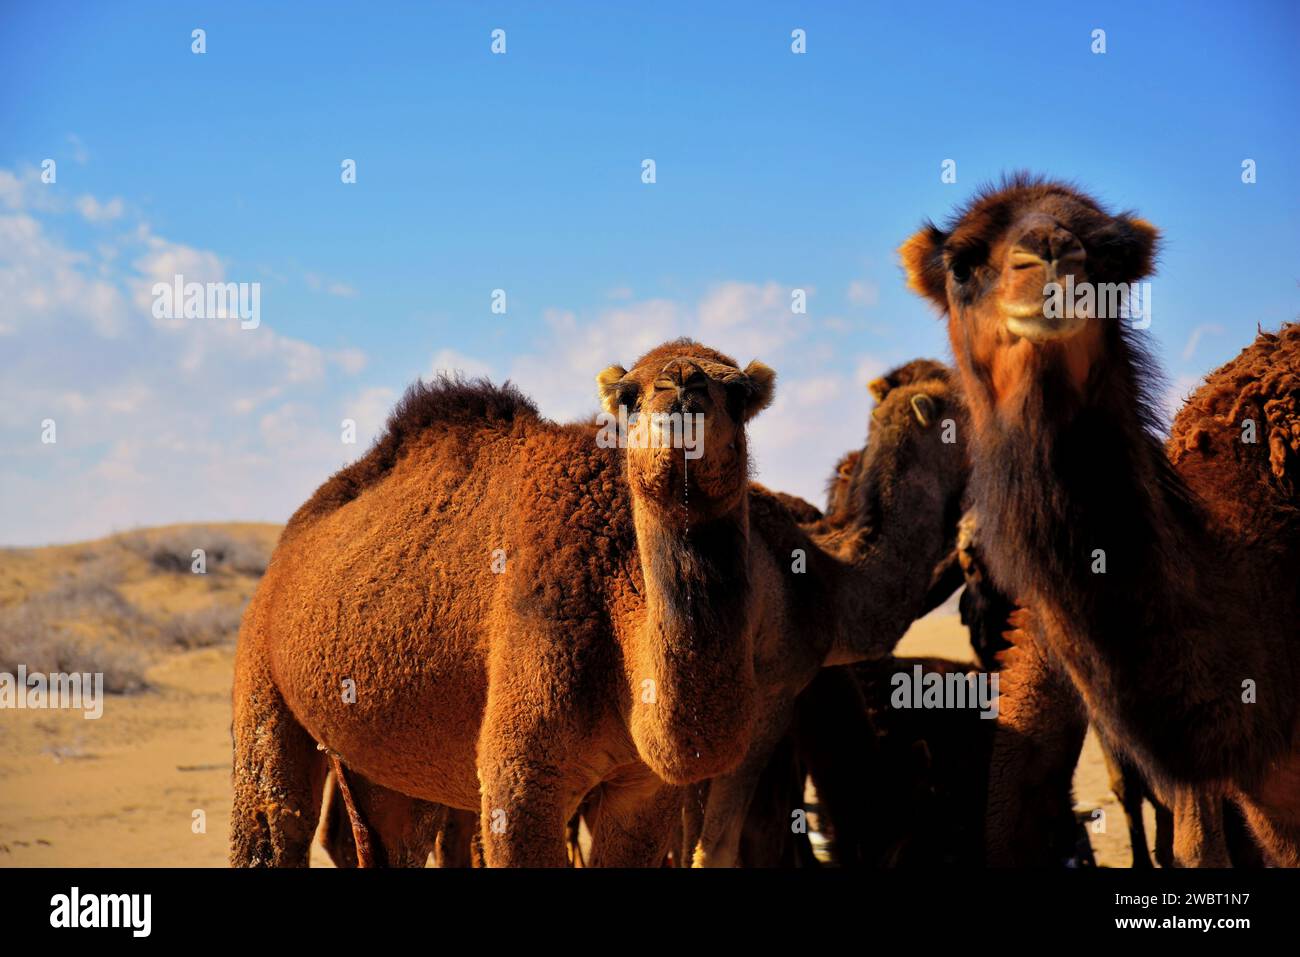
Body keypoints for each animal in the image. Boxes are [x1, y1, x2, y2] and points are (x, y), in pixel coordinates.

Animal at [231, 338, 780, 867]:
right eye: (629, 396)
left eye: (740, 393)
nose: (682, 383)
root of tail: (289, 545)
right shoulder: (522, 774)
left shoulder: (644, 788)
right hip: (260, 669)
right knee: (272, 822)